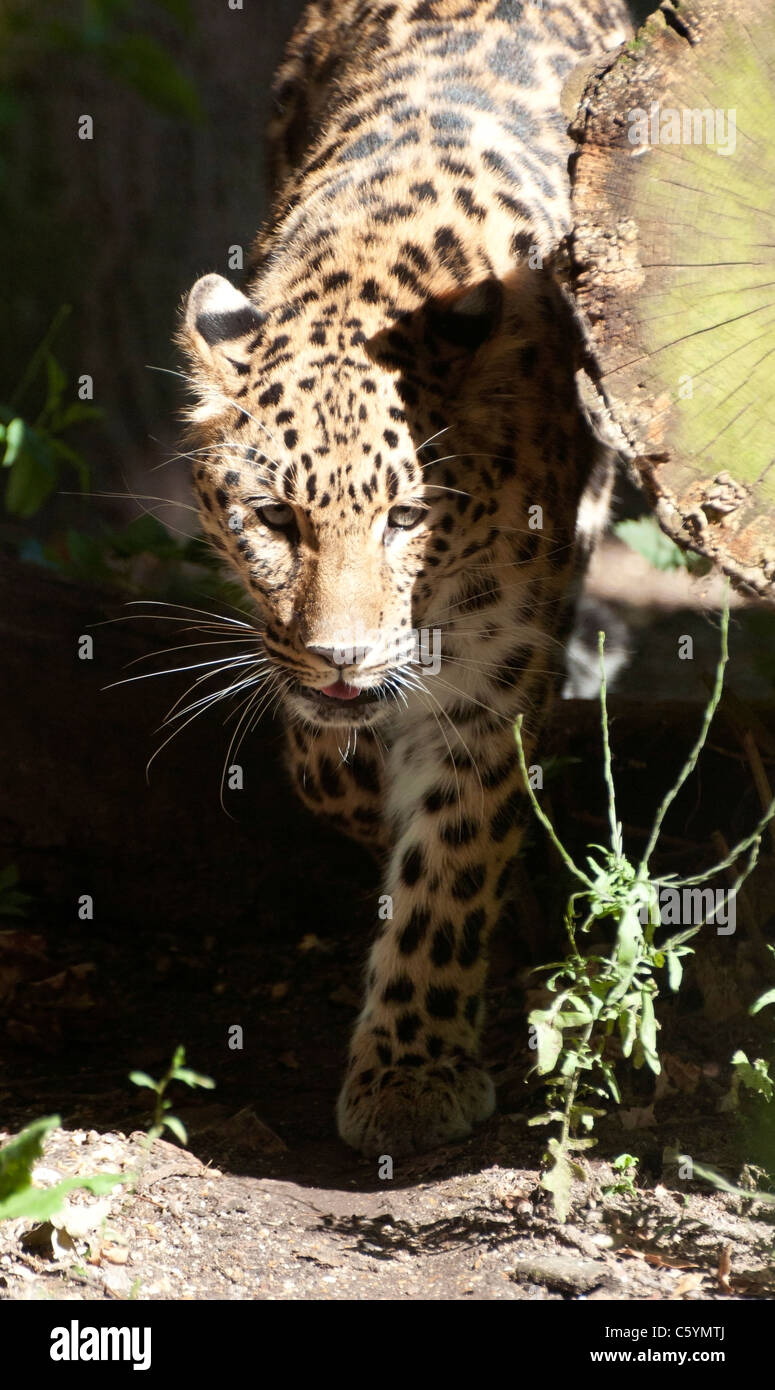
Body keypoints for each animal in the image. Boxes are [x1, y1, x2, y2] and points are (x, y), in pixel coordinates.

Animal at [179, 0, 631, 1158]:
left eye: (407, 518)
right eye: (274, 520)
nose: (341, 659)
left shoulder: (497, 662)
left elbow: (453, 853)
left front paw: (413, 1072)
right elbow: (319, 754)